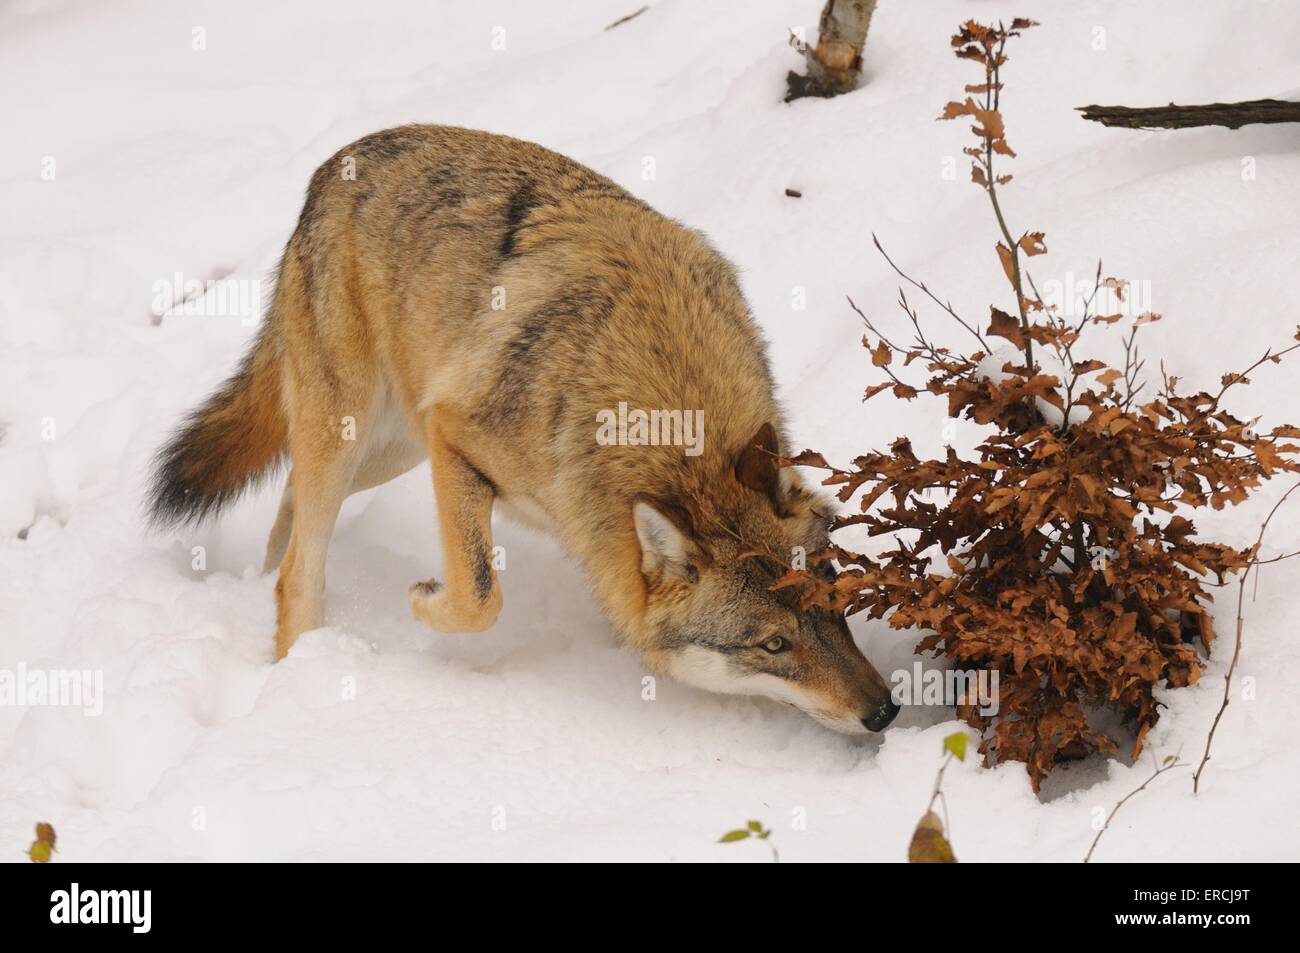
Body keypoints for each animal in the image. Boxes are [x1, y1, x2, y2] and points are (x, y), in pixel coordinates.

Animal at [149, 125, 899, 734]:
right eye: (773, 644)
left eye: (835, 598)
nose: (885, 710)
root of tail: (334, 164)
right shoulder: (457, 445)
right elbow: (481, 595)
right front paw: (423, 603)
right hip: (358, 431)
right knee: (298, 569)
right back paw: (297, 665)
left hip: (391, 447)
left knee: (290, 512)